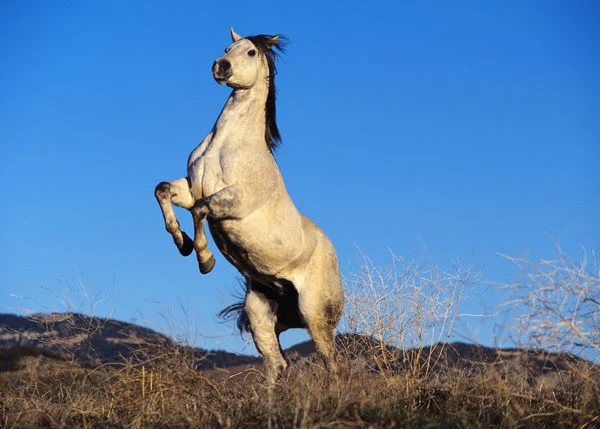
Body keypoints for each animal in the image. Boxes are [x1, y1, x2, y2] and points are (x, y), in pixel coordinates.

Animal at [152, 27, 344, 382]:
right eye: (228, 48)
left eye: (251, 52)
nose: (221, 66)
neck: (227, 144)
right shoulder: (191, 188)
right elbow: (163, 191)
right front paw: (182, 243)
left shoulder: (233, 201)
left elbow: (201, 210)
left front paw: (204, 259)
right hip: (260, 315)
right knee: (277, 364)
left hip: (316, 318)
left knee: (332, 365)